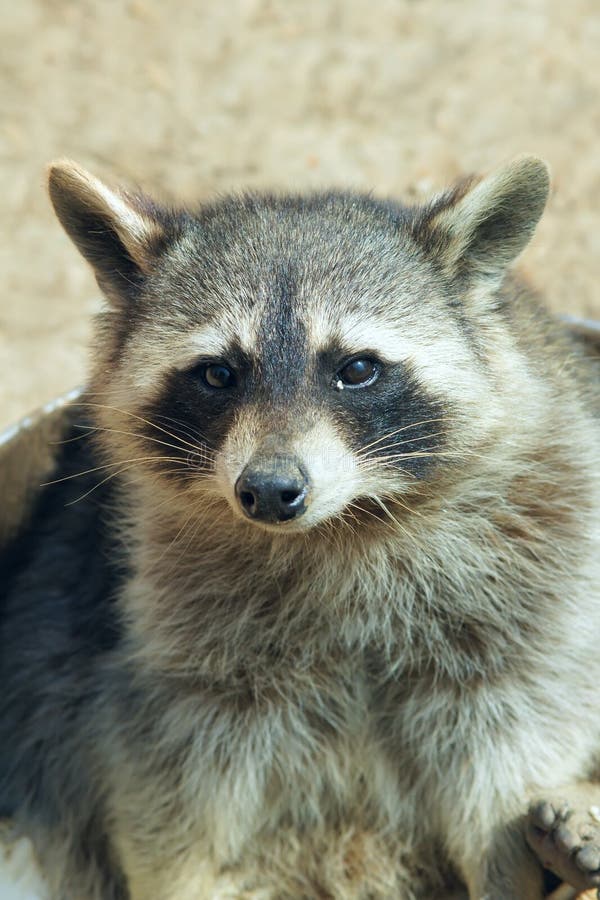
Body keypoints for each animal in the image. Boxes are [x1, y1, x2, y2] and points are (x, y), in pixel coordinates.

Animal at [1, 156, 600, 900]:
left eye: (357, 369)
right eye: (218, 374)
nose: (267, 491)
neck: (338, 526)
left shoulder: (539, 552)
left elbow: (507, 735)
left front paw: (515, 863)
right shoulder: (156, 645)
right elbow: (167, 791)